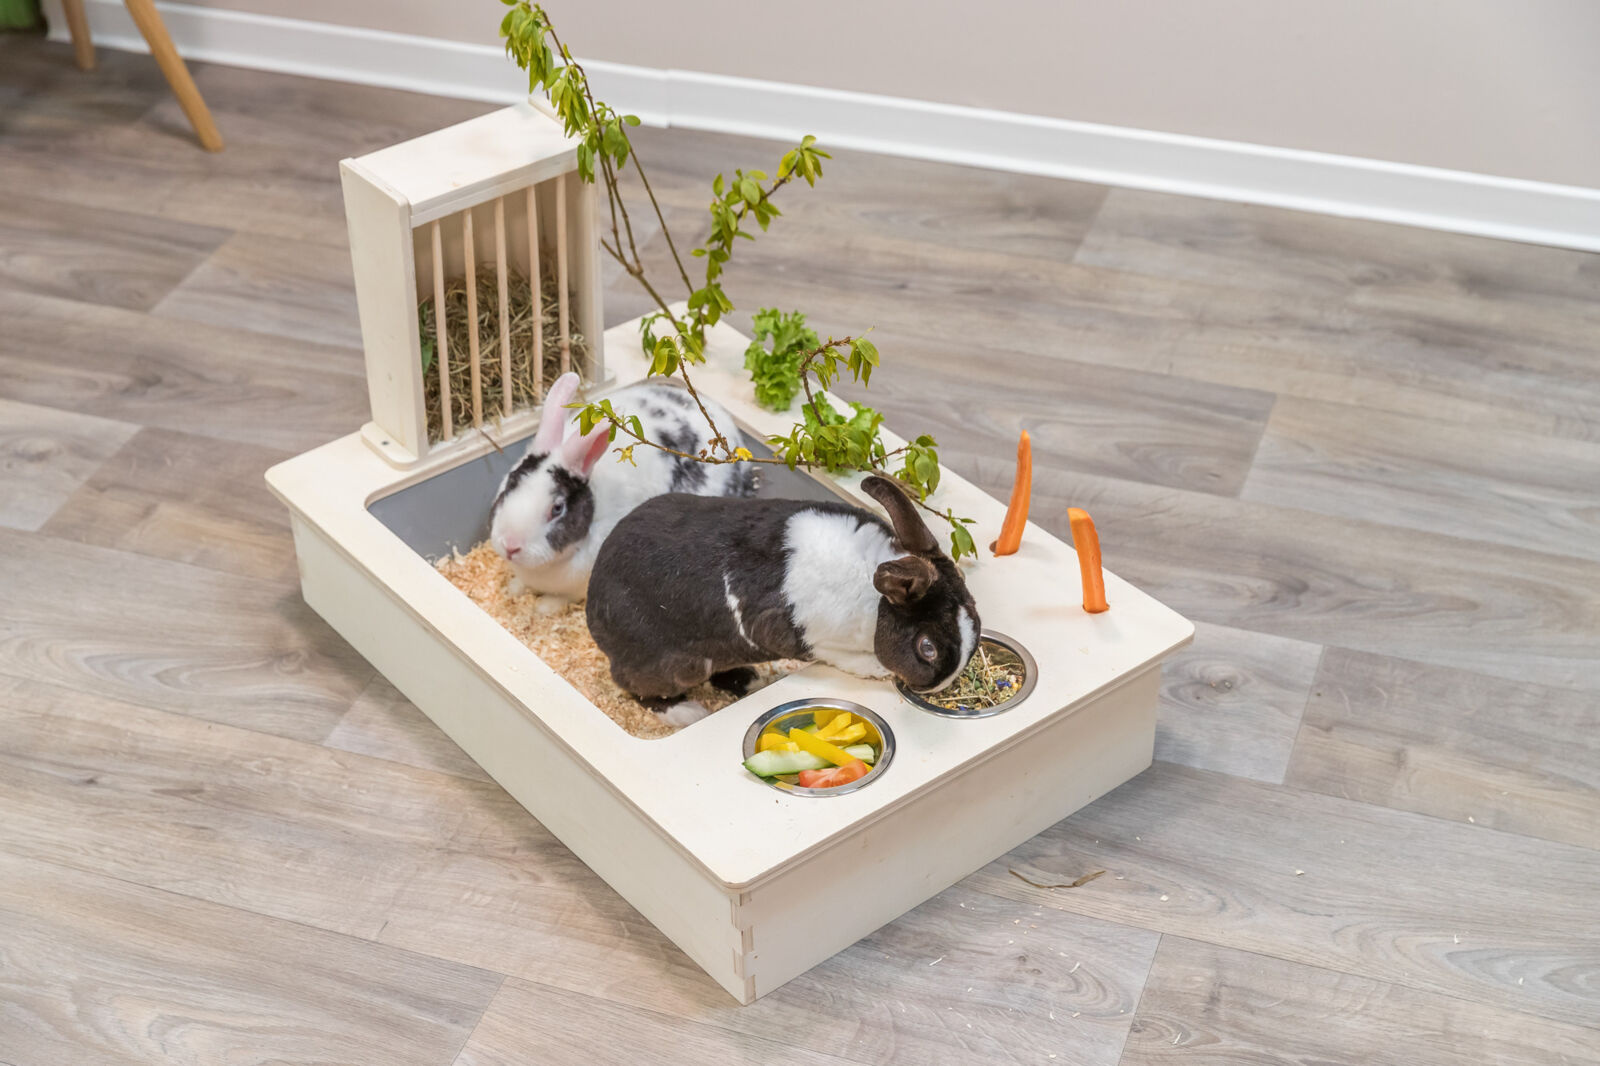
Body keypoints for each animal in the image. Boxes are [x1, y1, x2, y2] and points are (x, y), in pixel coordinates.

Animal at [489, 371, 756, 613]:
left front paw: (544, 607)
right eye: (511, 484)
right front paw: (513, 589)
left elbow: (560, 600)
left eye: (557, 508)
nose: (510, 546)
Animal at [586, 474, 980, 719]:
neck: (874, 597)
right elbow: (854, 661)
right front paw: (878, 670)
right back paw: (686, 712)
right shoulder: (820, 641)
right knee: (635, 686)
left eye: (974, 610)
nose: (942, 684)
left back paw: (751, 680)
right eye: (927, 648)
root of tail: (593, 606)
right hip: (670, 667)